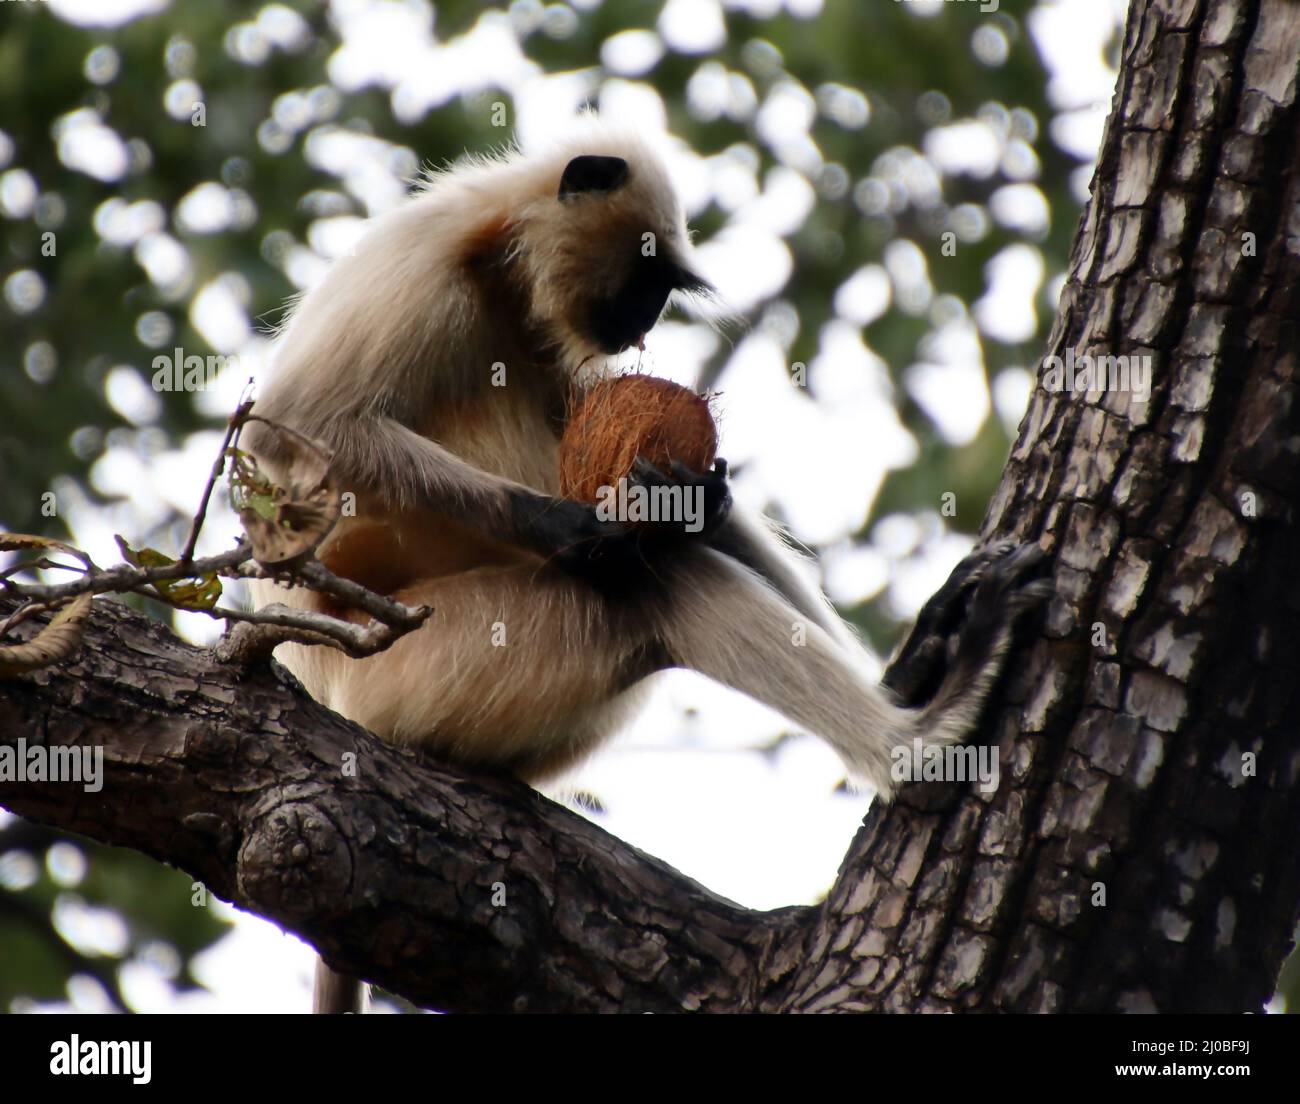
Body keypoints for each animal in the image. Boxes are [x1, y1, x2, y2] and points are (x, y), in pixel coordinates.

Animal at [242, 119, 1047, 1013]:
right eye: (649, 275)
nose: (646, 320)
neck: (502, 259)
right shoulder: (426, 264)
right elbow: (296, 424)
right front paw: (568, 526)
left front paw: (696, 503)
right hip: (415, 669)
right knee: (656, 588)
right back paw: (921, 745)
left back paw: (910, 678)